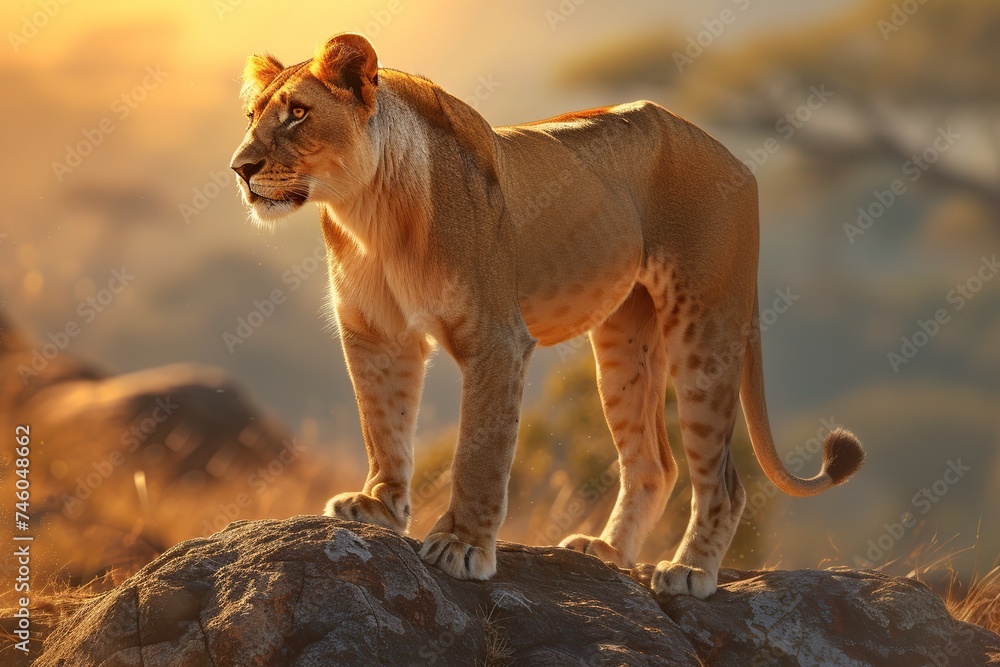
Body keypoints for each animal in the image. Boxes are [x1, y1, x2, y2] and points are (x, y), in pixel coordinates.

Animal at [230, 33, 864, 599]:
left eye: (298, 114)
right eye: (252, 116)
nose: (240, 167)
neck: (368, 214)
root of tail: (736, 157)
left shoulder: (497, 339)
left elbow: (480, 451)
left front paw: (463, 545)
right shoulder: (375, 334)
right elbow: (382, 423)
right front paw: (378, 507)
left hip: (705, 326)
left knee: (724, 481)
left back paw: (689, 572)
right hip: (624, 342)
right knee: (654, 463)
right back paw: (606, 552)